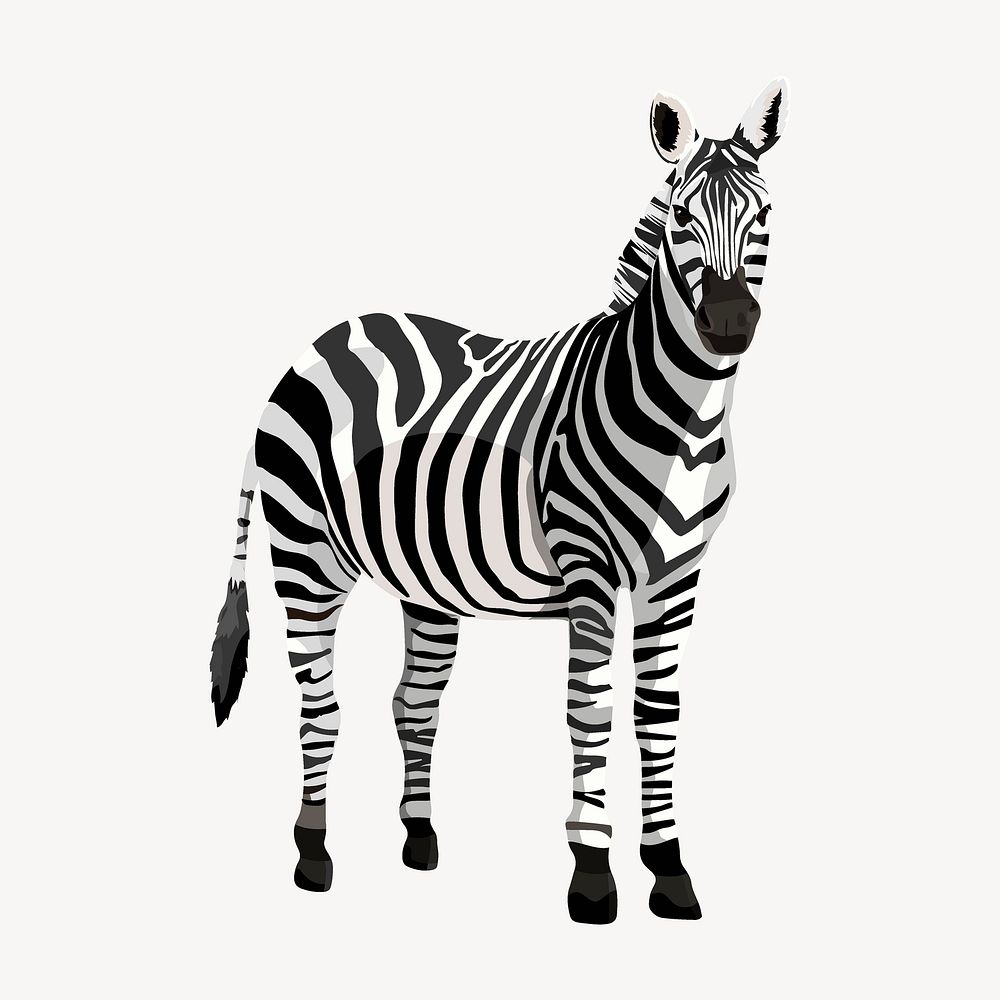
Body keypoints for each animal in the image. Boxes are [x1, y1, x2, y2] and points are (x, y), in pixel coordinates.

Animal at [210, 80, 788, 923]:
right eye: (683, 218)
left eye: (764, 215)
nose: (730, 323)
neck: (685, 413)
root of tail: (313, 347)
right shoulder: (589, 569)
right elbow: (591, 708)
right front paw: (593, 874)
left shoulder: (675, 578)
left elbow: (659, 716)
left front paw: (670, 869)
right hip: (305, 560)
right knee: (322, 706)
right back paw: (313, 856)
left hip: (422, 580)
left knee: (412, 703)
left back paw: (419, 841)